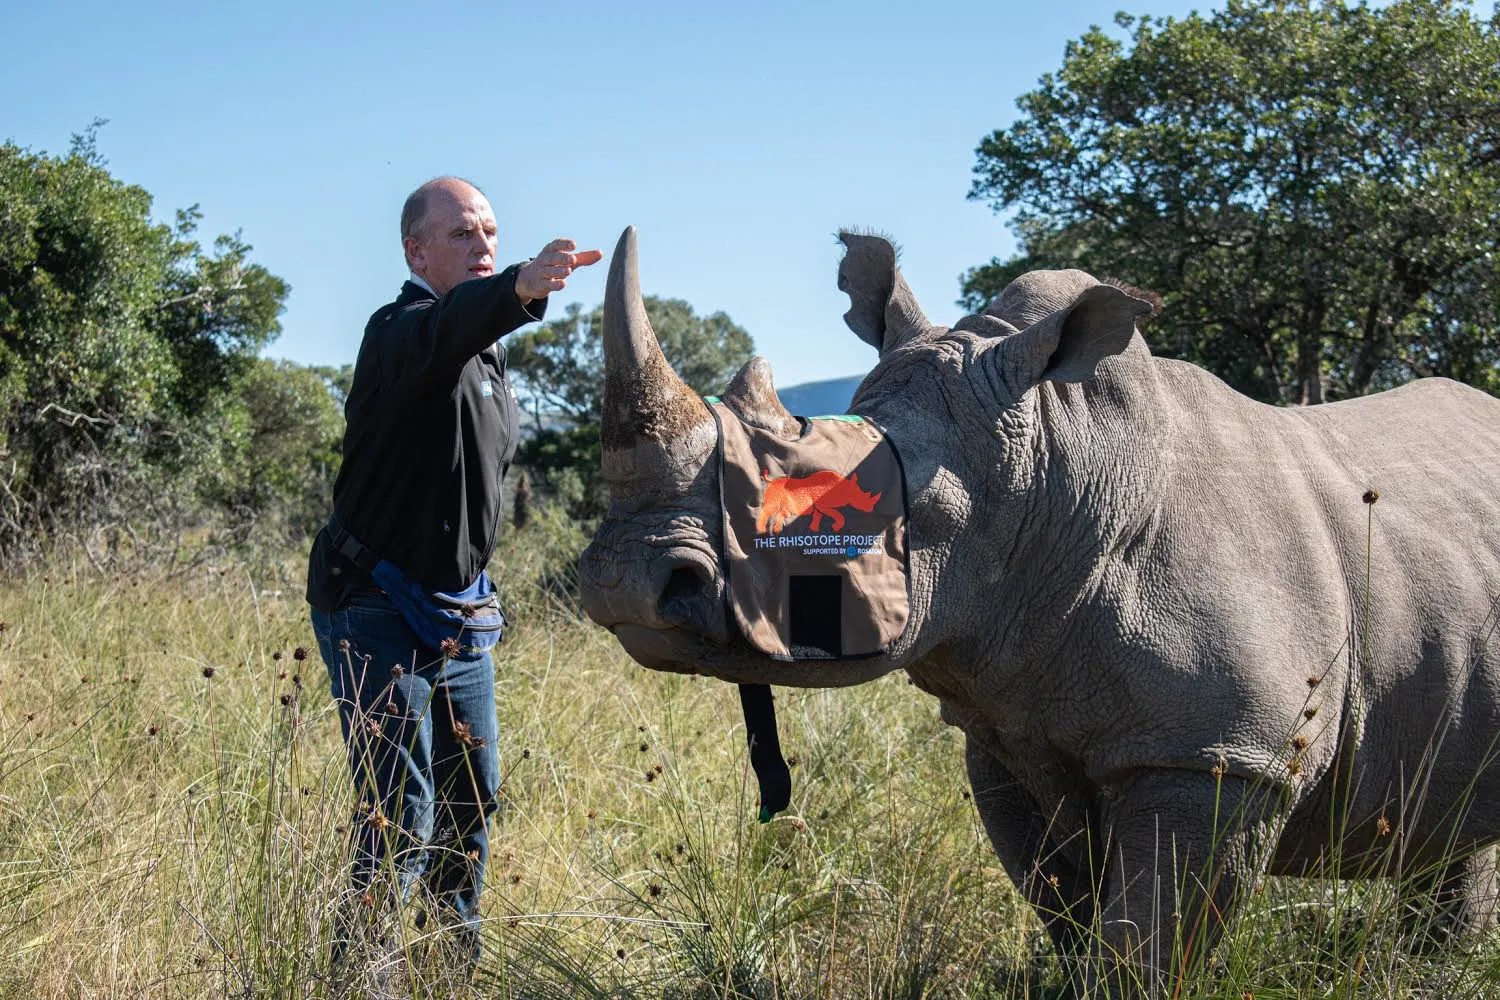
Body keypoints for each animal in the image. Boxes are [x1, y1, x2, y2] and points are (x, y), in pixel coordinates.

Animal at [578, 226, 1500, 993]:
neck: (1054, 471)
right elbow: (1068, 910)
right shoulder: (1004, 723)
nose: (628, 578)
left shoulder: (1220, 754)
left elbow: (1151, 938)